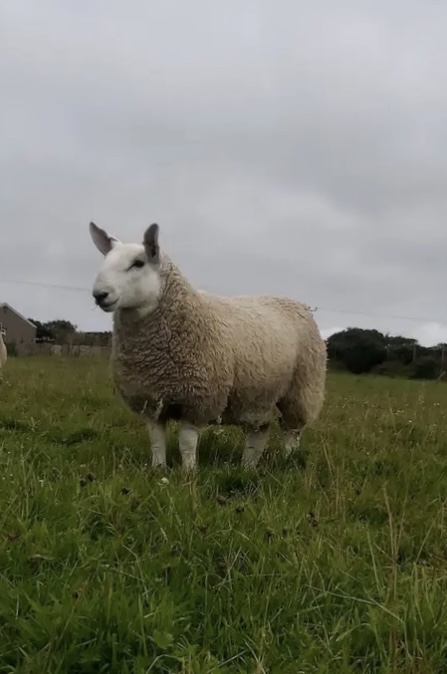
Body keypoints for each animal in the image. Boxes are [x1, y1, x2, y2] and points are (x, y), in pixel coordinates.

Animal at [89, 221, 327, 471]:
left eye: (138, 263)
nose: (99, 295)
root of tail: (298, 303)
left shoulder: (197, 399)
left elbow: (186, 442)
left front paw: (188, 471)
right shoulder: (151, 401)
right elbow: (156, 440)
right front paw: (158, 469)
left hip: (301, 390)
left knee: (292, 431)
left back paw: (287, 461)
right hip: (258, 395)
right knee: (259, 432)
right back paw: (247, 467)